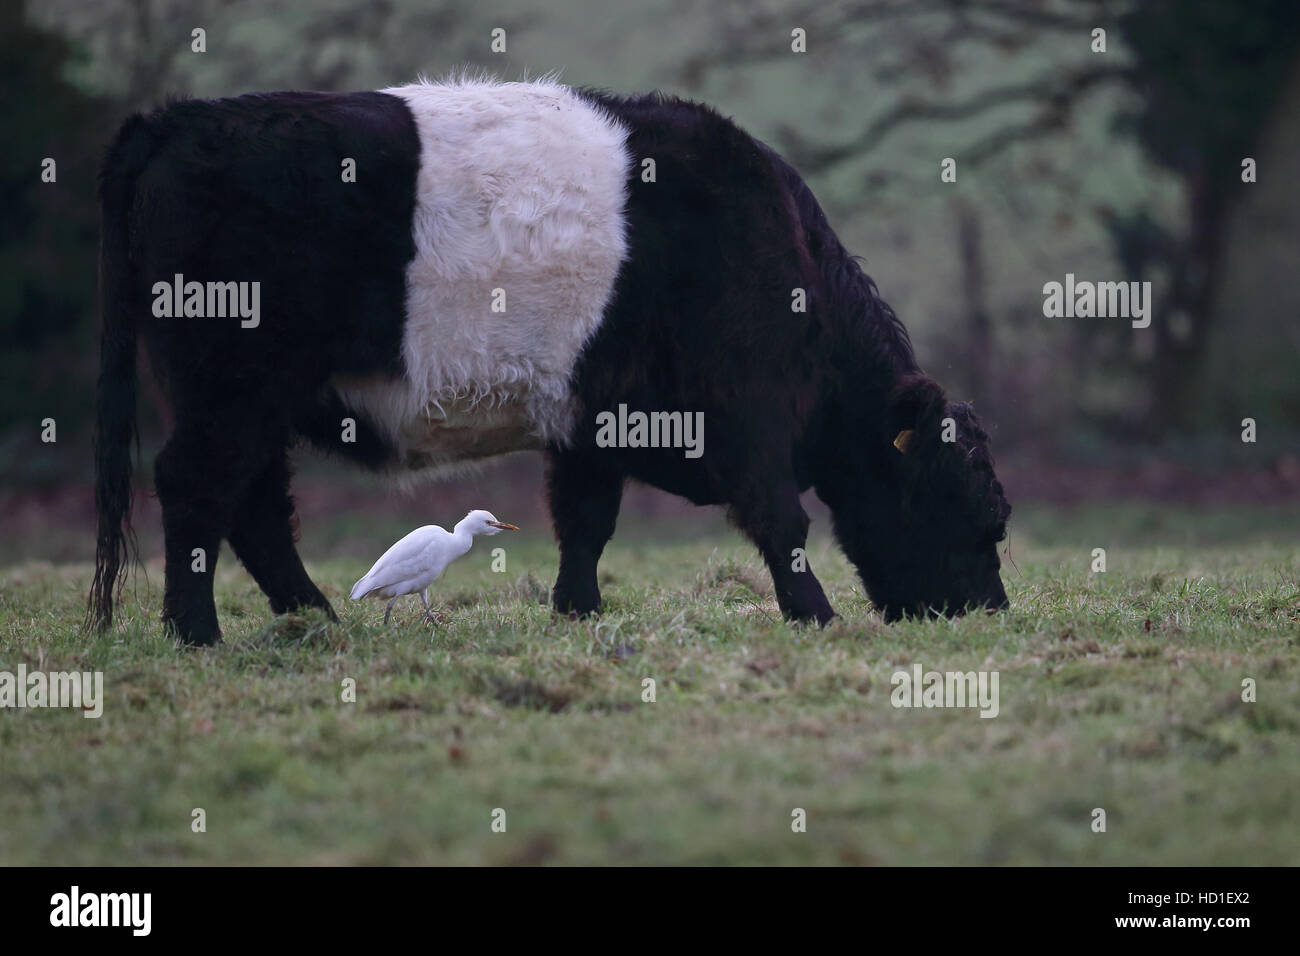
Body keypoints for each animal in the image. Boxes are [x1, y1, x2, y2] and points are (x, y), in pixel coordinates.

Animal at [88, 77, 1011, 646]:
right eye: (966, 503)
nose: (987, 612)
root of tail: (175, 121)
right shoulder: (745, 414)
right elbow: (780, 519)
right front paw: (814, 614)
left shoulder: (591, 420)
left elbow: (585, 523)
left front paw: (576, 612)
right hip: (230, 390)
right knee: (198, 487)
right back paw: (199, 632)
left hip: (254, 398)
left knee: (253, 507)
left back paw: (313, 619)